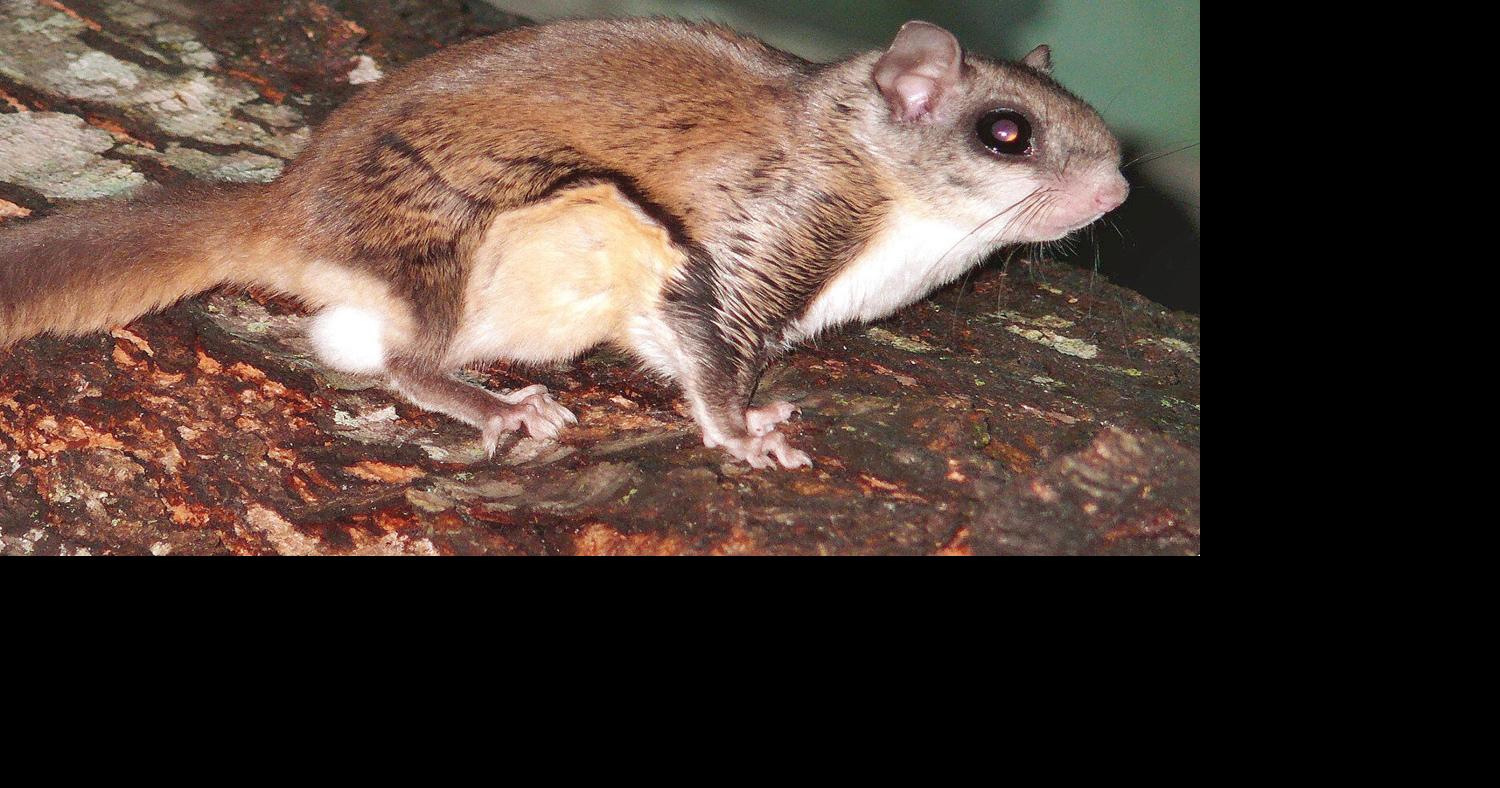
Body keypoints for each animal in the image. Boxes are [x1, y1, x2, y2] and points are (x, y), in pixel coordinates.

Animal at [0, 18, 1128, 469]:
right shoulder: (754, 240)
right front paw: (744, 433)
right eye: (1006, 133)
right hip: (457, 233)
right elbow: (710, 355)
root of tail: (287, 207)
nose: (1118, 183)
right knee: (405, 363)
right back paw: (498, 405)